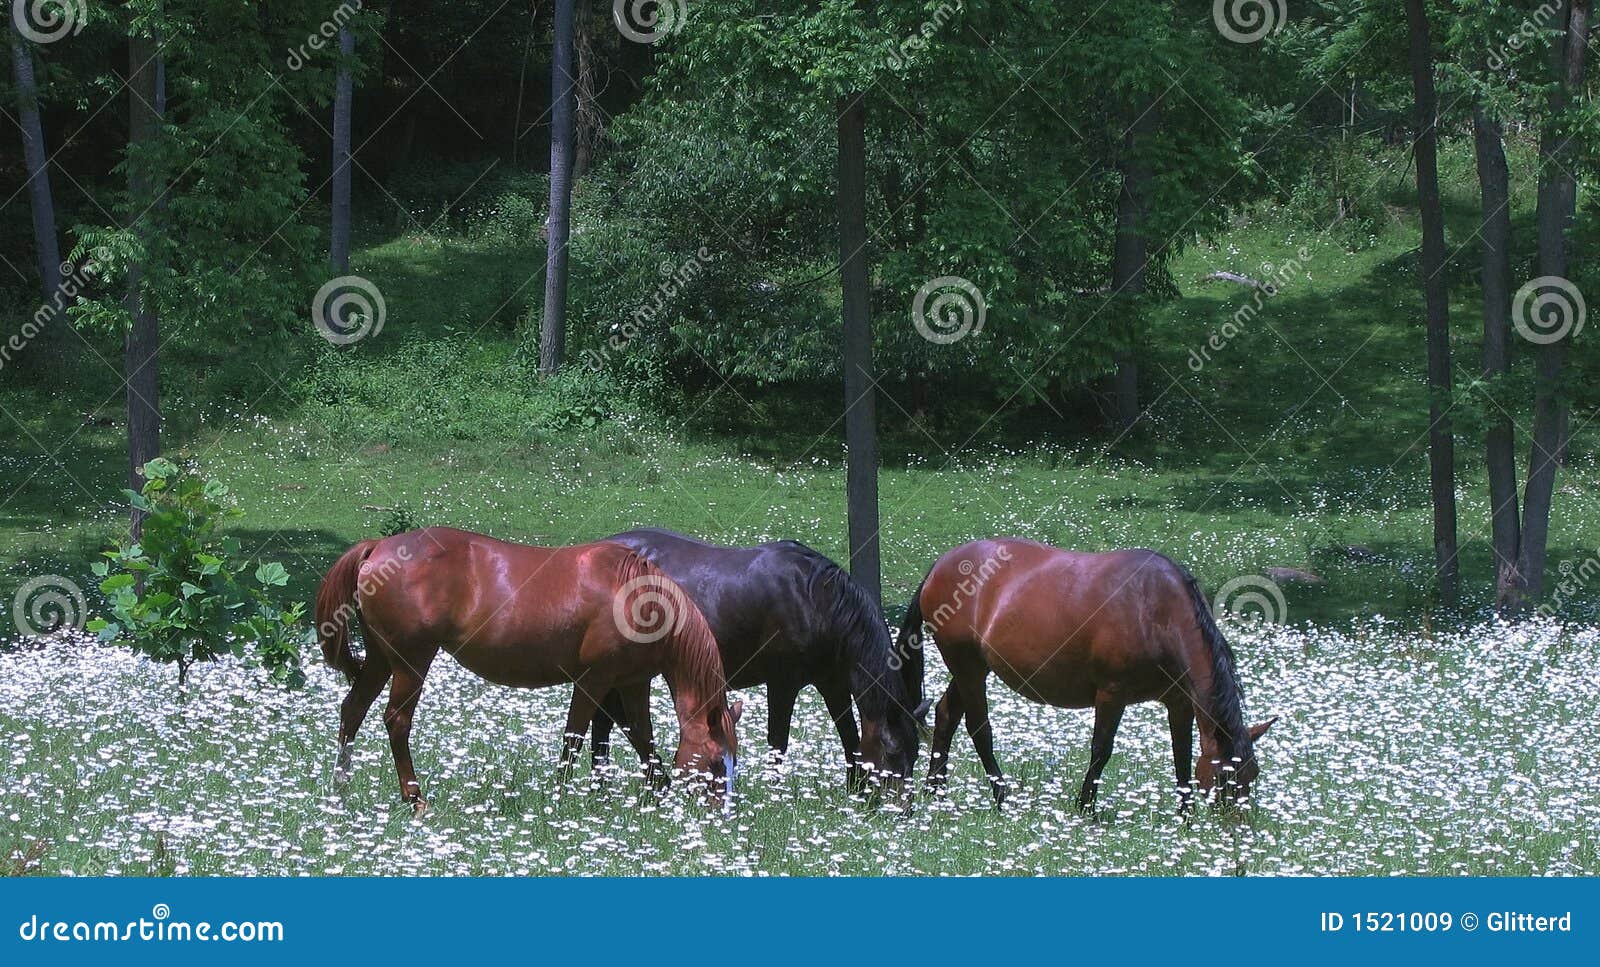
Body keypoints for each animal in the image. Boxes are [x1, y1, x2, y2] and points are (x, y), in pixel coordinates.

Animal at [315, 527, 743, 815]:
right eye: (715, 762)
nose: (721, 818)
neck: (636, 595)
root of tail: (377, 547)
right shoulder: (593, 681)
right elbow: (574, 738)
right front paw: (560, 798)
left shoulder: (632, 683)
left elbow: (642, 738)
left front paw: (658, 791)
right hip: (410, 662)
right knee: (397, 720)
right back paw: (415, 798)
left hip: (380, 659)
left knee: (353, 709)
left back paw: (340, 789)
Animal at [581, 528, 929, 791]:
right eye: (893, 752)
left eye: (915, 754)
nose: (904, 812)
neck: (815, 600)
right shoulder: (782, 684)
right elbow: (778, 740)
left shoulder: (833, 684)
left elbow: (849, 736)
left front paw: (855, 788)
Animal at [897, 538, 1275, 809]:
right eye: (1225, 779)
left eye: (1252, 776)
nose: (1235, 832)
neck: (1155, 610)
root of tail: (940, 565)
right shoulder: (1111, 694)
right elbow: (1101, 749)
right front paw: (1086, 807)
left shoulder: (1179, 702)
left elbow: (1181, 754)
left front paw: (1185, 815)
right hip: (967, 667)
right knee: (979, 730)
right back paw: (1001, 798)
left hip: (971, 668)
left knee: (946, 715)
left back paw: (936, 791)